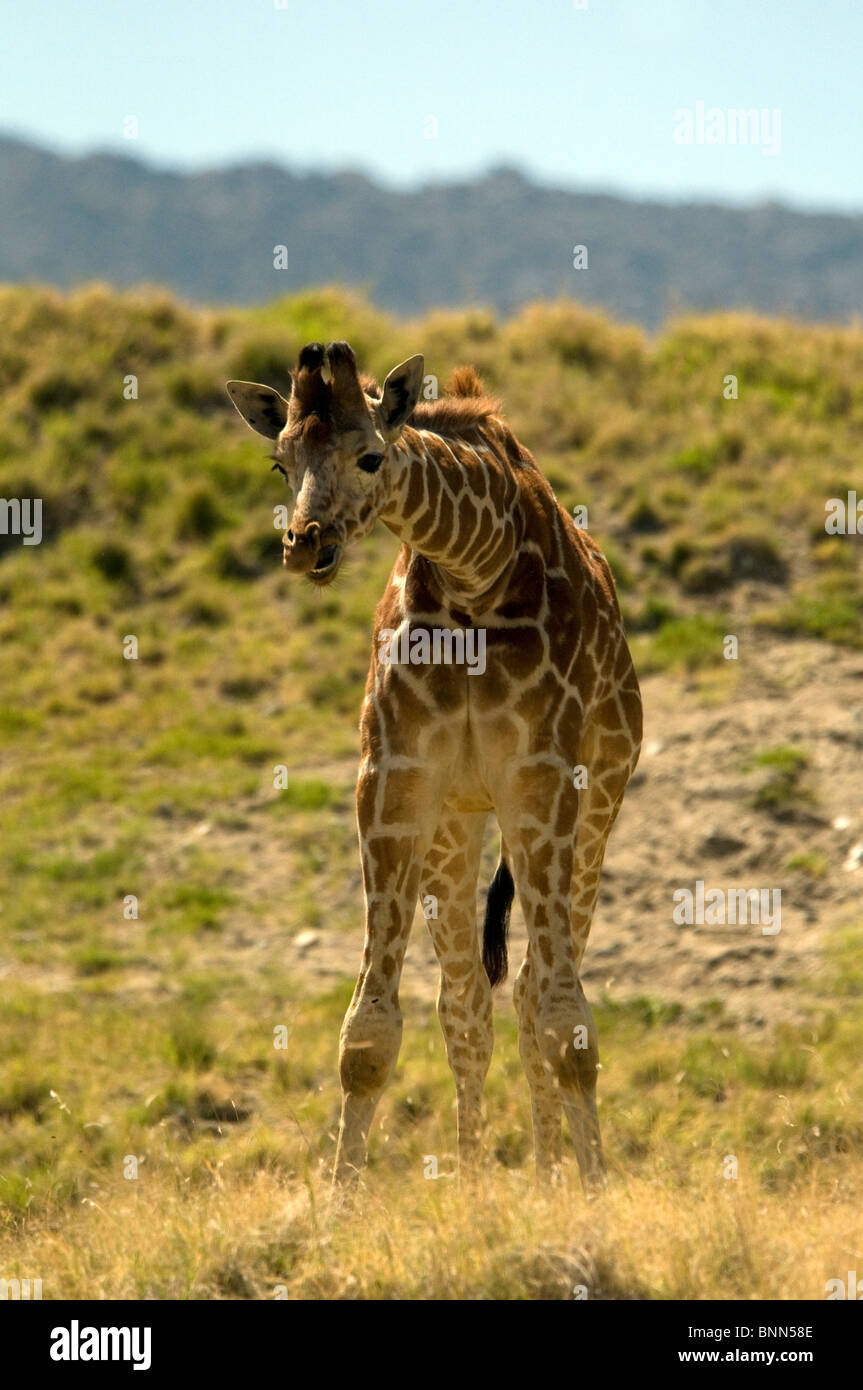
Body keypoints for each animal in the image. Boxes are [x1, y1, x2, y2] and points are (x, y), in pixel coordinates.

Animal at [226, 339, 642, 1189]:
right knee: (468, 1002)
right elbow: (369, 1032)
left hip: (600, 796)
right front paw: (339, 1203)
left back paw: (548, 1175)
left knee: (529, 988)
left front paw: (591, 1192)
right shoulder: (395, 780)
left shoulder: (543, 776)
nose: (304, 543)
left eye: (370, 456)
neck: (474, 570)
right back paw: (482, 1181)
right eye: (280, 462)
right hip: (459, 821)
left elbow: (562, 1019)